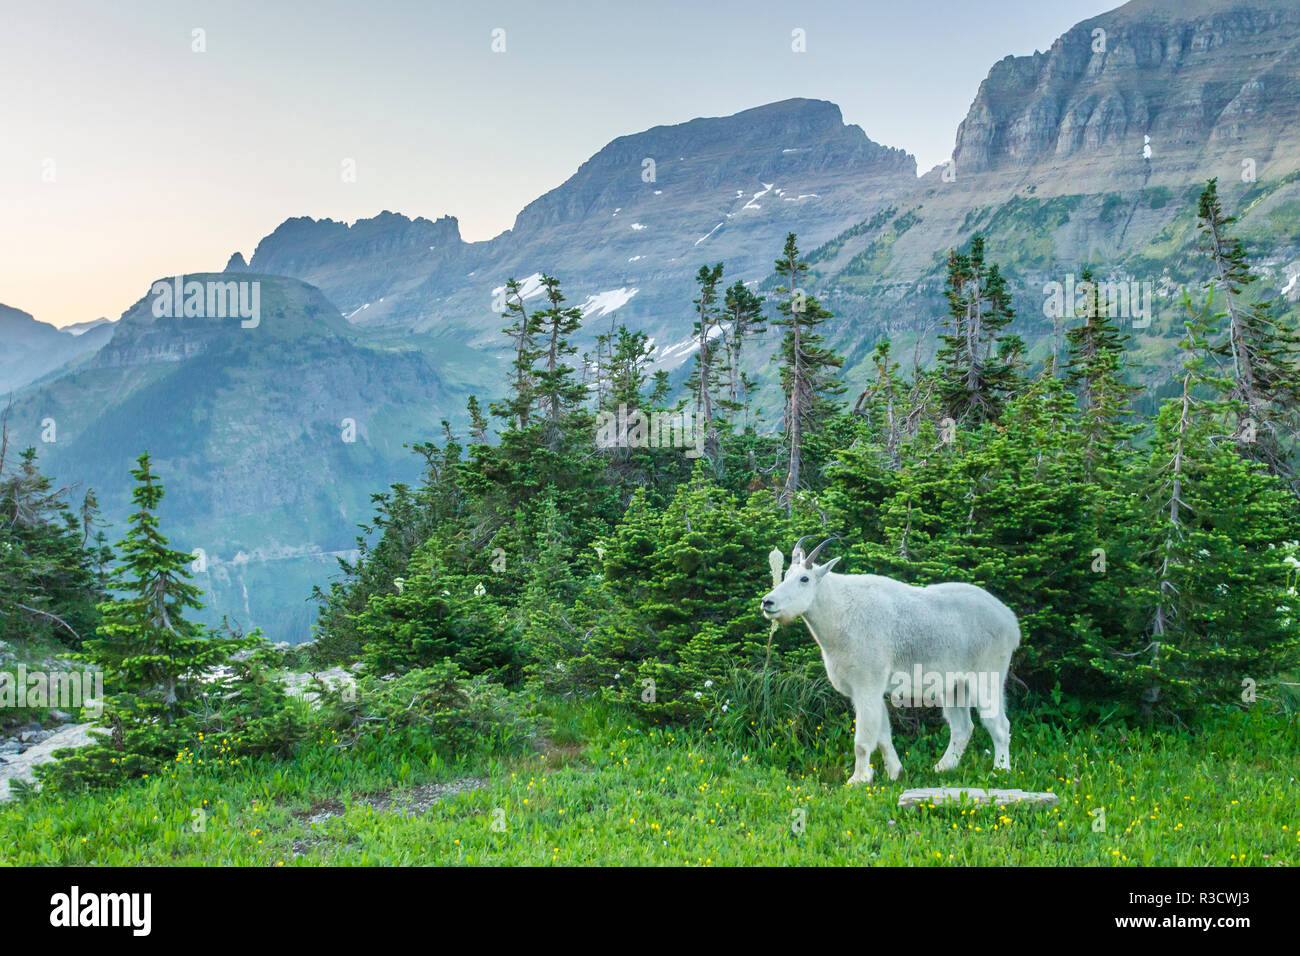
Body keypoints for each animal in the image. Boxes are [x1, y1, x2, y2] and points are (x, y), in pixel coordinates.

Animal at [760, 537, 1020, 784]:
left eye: (804, 579)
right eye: (786, 575)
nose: (767, 602)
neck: (839, 612)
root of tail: (1010, 621)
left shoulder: (867, 683)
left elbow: (863, 740)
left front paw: (857, 779)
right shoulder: (866, 690)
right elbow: (883, 736)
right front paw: (896, 773)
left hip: (987, 675)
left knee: (999, 724)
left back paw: (1000, 771)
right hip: (955, 686)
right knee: (962, 728)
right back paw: (943, 768)